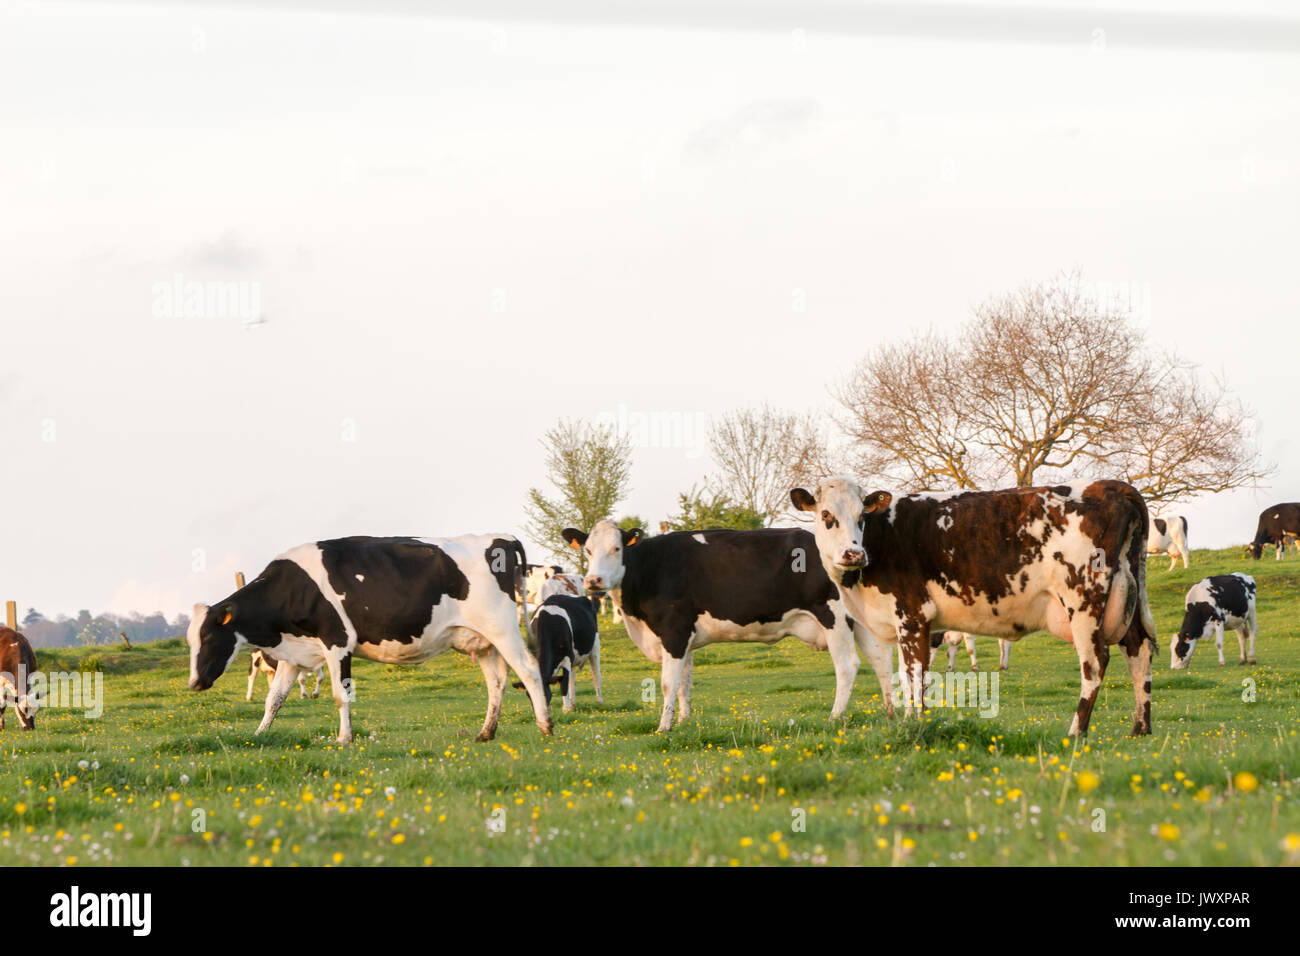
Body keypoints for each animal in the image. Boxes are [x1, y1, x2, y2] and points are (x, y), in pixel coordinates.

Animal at [187, 534, 552, 743]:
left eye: (209, 637)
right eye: (191, 641)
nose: (194, 682)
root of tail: (499, 536)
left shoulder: (337, 641)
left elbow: (340, 696)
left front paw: (344, 738)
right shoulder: (295, 653)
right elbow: (274, 699)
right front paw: (260, 734)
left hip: (501, 628)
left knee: (528, 670)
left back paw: (545, 726)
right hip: (481, 640)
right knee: (497, 680)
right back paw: (486, 732)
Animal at [561, 522, 895, 733]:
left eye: (617, 549)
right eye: (587, 550)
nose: (593, 581)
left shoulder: (674, 631)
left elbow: (668, 683)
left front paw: (663, 727)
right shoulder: (686, 637)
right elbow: (684, 684)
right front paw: (683, 722)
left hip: (833, 616)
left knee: (847, 665)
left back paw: (835, 717)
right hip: (860, 621)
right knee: (881, 662)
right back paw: (891, 712)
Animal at [791, 478, 1158, 737]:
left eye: (861, 516)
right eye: (826, 515)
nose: (853, 553)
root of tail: (1110, 486)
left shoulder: (911, 616)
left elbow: (913, 674)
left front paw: (913, 725)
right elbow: (913, 678)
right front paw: (916, 722)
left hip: (1084, 598)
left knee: (1095, 662)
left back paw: (1076, 732)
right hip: (1125, 596)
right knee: (1138, 651)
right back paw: (1139, 729)